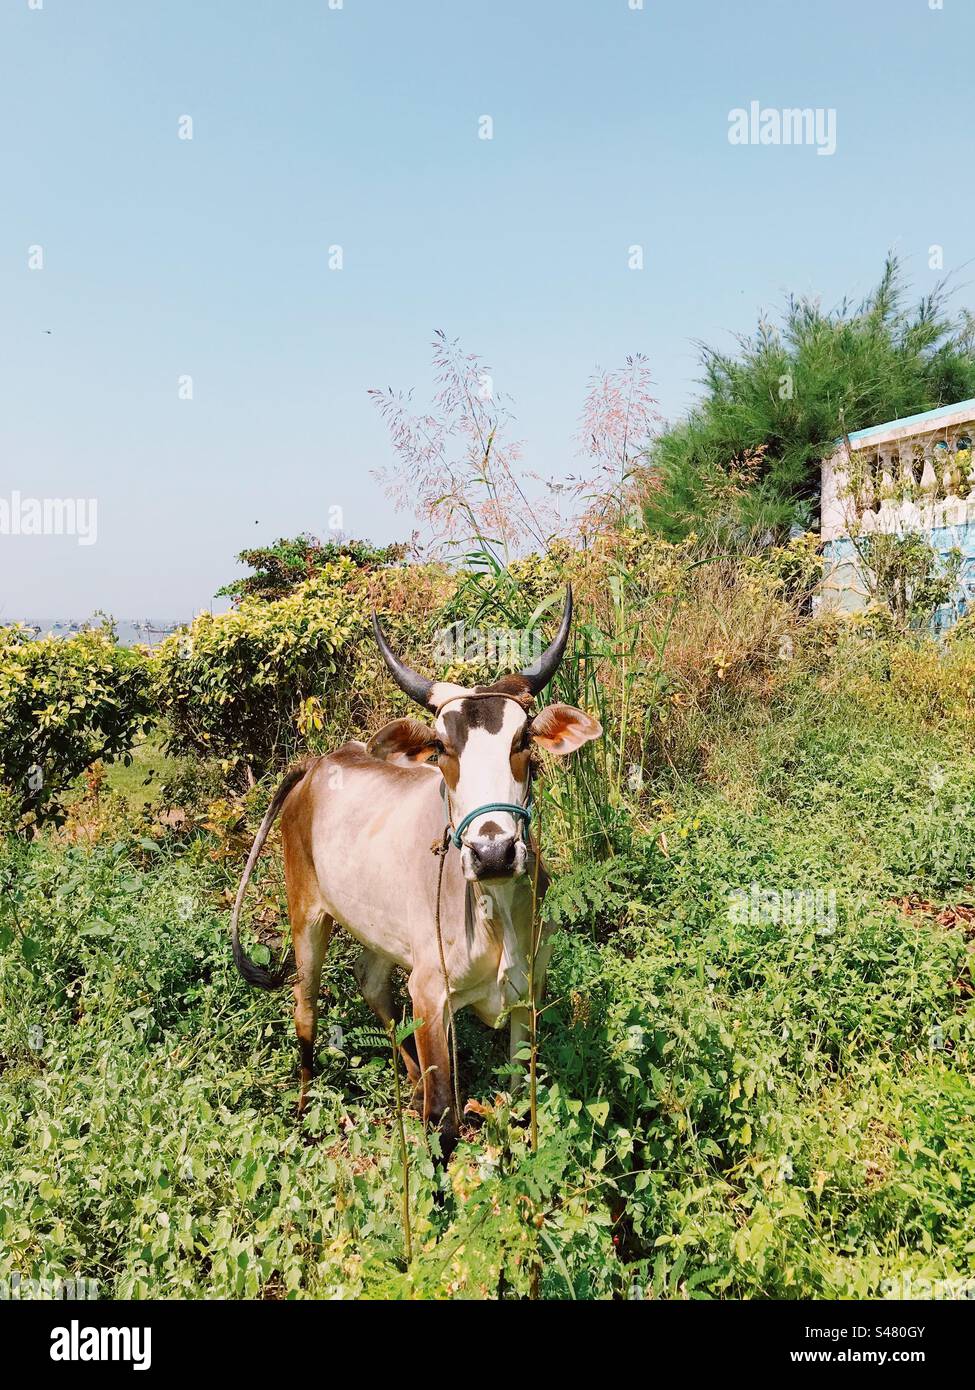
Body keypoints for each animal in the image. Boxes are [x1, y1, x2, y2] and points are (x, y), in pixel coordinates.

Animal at [231, 586, 601, 1152]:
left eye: (522, 744)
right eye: (443, 749)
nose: (493, 852)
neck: (495, 916)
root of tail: (316, 764)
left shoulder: (528, 997)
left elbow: (520, 1099)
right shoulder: (429, 996)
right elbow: (444, 1119)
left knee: (369, 981)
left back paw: (407, 1080)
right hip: (307, 915)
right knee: (305, 1008)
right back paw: (302, 1112)